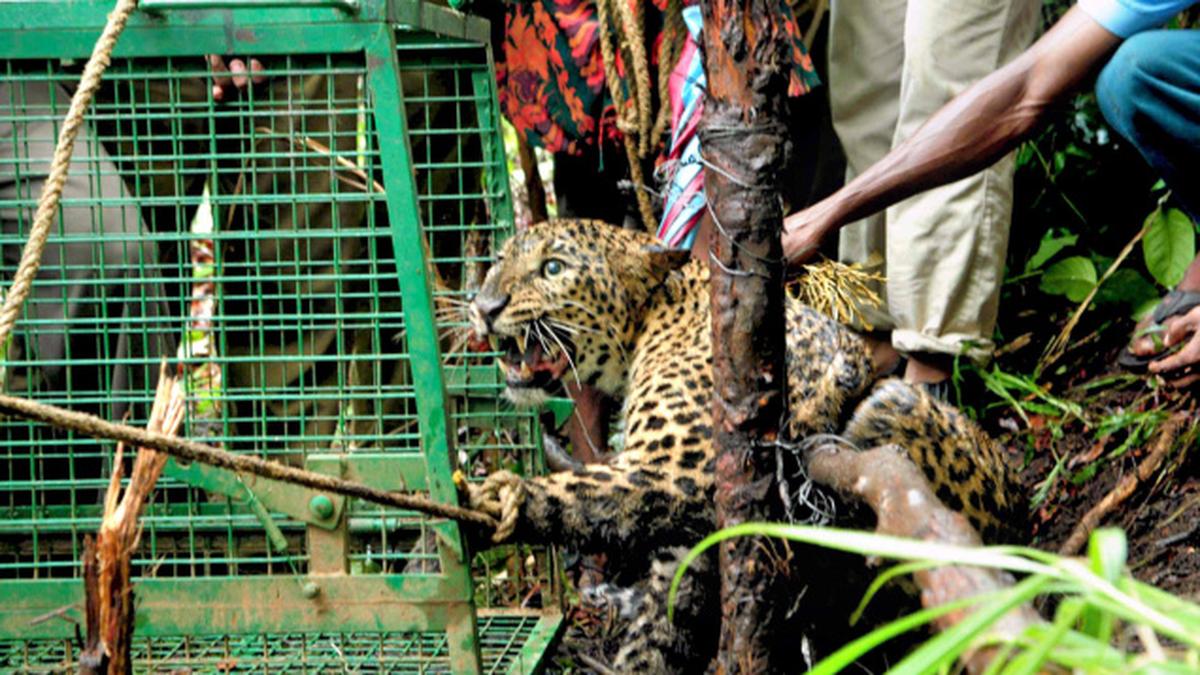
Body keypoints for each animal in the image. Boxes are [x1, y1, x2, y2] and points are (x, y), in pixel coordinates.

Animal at [464, 219, 1025, 672]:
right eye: (499, 261)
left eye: (553, 268)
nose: (484, 307)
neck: (651, 321)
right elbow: (666, 604)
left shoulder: (675, 470)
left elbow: (576, 492)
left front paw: (493, 499)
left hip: (891, 413)